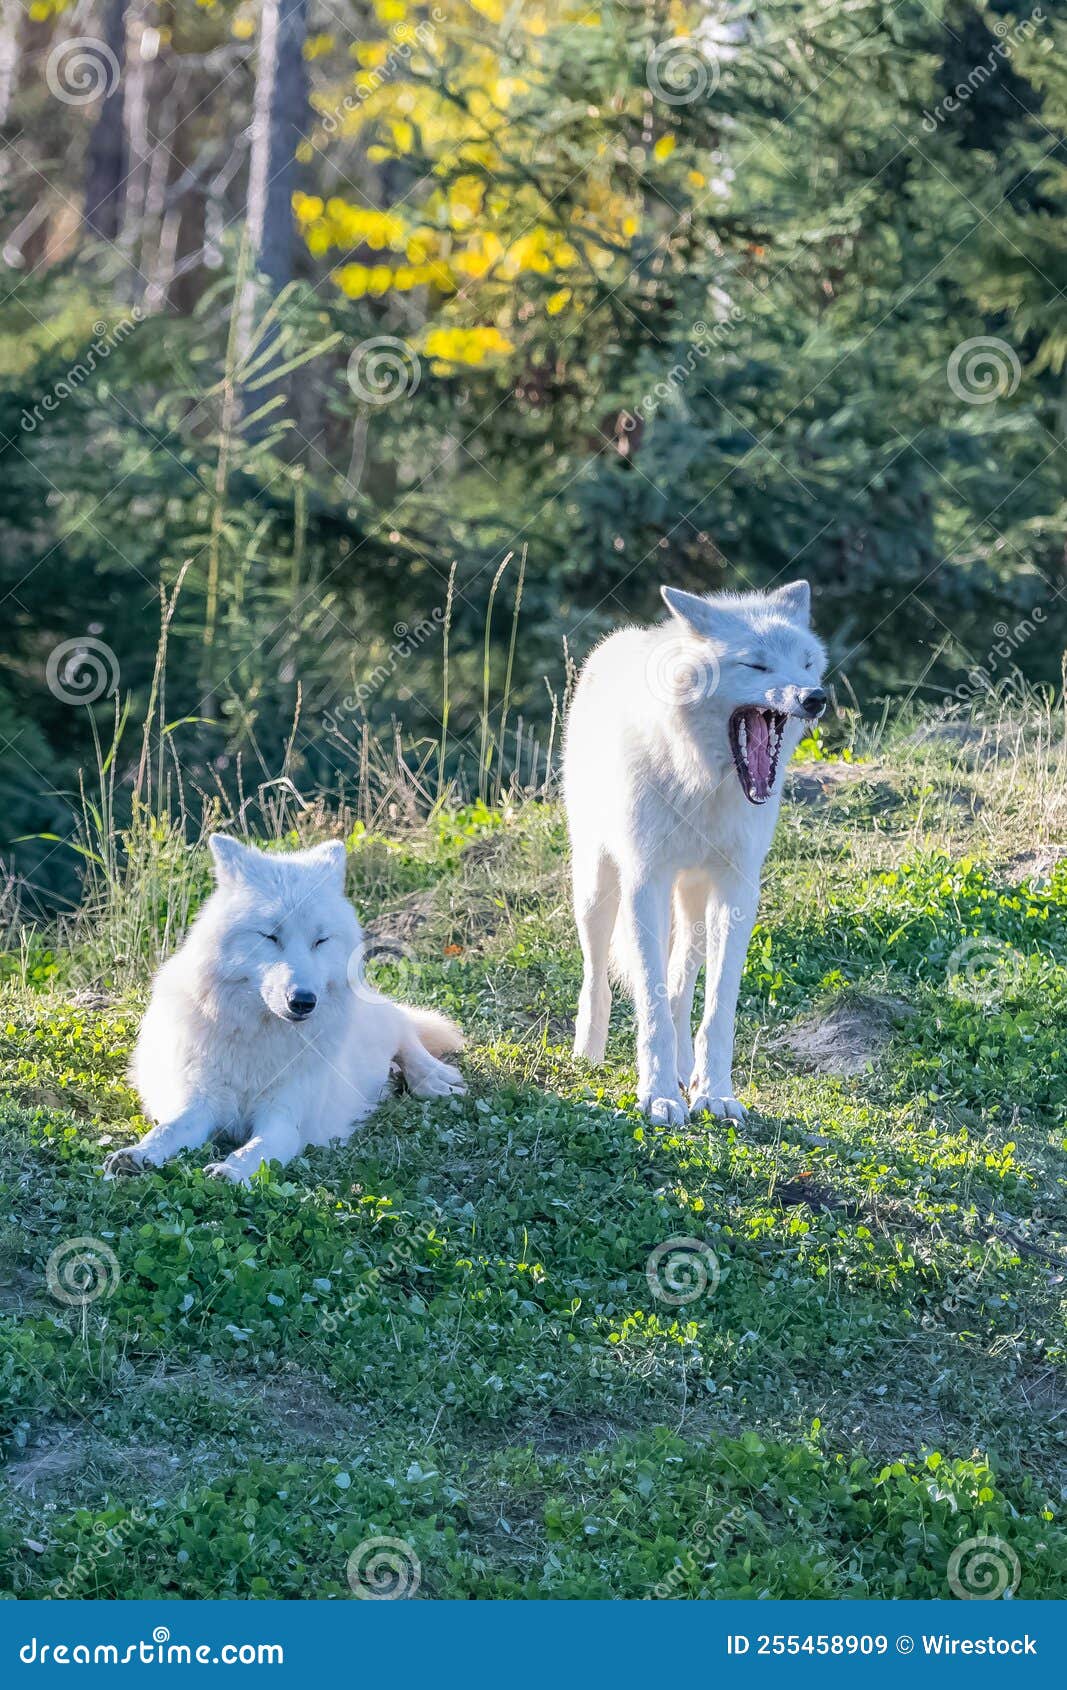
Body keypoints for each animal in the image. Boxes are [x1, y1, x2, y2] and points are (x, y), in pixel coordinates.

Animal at [104, 837, 465, 1184]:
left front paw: (231, 1173)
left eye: (320, 940)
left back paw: (434, 1080)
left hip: (378, 1023)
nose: (303, 1001)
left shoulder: (283, 1118)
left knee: (404, 1029)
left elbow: (255, 1150)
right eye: (270, 936)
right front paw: (135, 1155)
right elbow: (167, 1130)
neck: (259, 1040)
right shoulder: (200, 1103)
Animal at [563, 580, 826, 1126]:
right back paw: (588, 1057)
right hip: (598, 890)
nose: (815, 698)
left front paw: (715, 1094)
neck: (701, 781)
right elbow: (649, 1002)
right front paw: (658, 1096)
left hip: (694, 908)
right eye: (757, 666)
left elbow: (716, 1008)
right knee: (599, 977)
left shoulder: (737, 889)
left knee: (680, 984)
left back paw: (687, 1070)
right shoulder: (645, 881)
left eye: (807, 663)